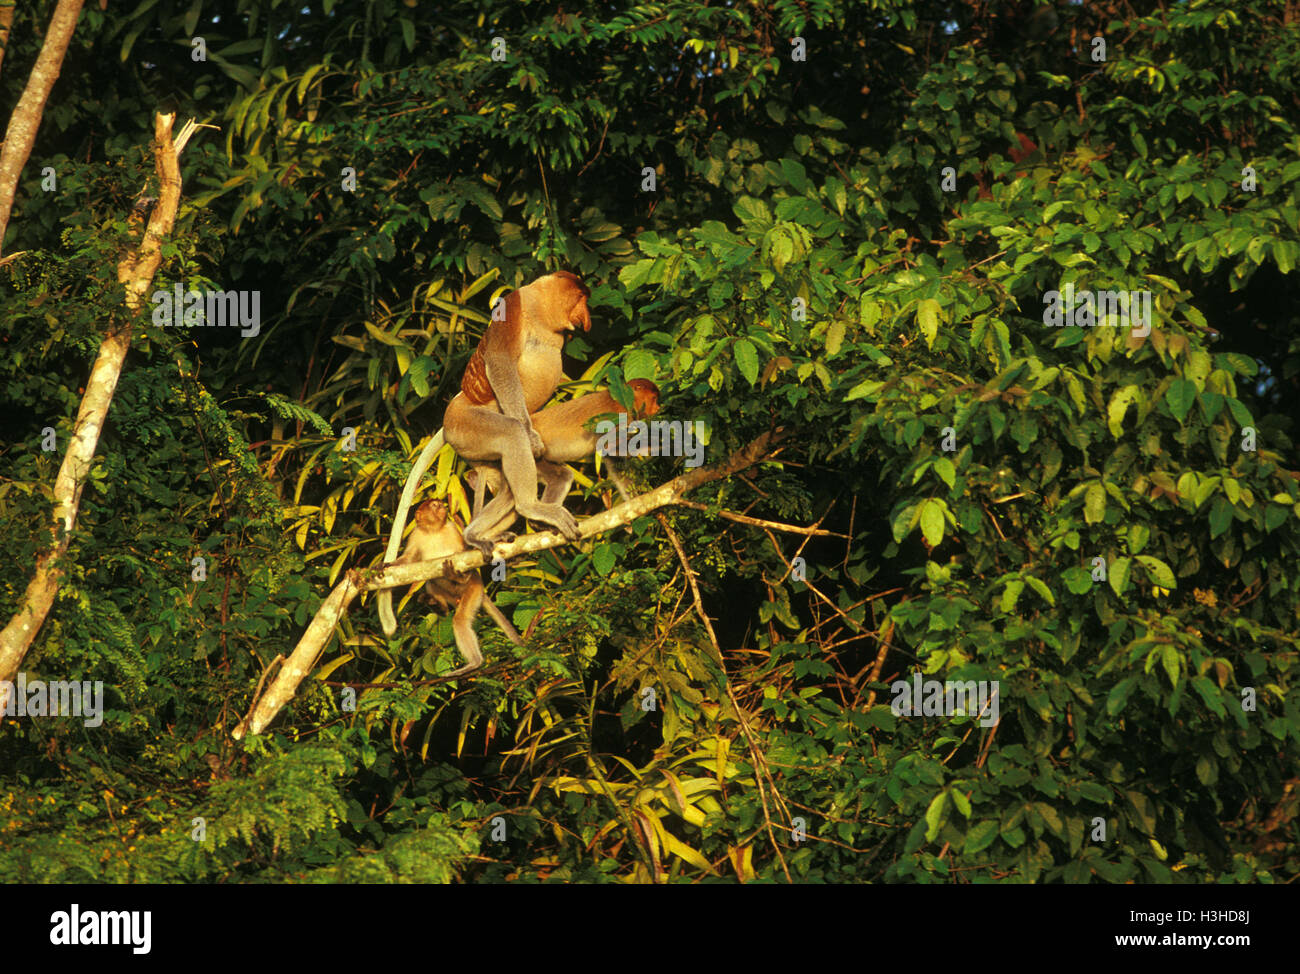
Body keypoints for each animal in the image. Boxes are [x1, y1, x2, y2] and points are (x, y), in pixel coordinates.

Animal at [391, 499, 522, 676]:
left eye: (438, 503)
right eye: (434, 505)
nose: (442, 506)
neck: (434, 531)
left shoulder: (452, 528)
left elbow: (465, 549)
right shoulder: (416, 534)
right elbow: (409, 558)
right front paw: (384, 566)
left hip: (473, 589)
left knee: (460, 619)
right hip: (452, 596)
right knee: (432, 582)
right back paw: (439, 606)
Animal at [442, 271, 595, 557]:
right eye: (581, 298)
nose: (587, 319)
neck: (541, 313)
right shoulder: (513, 306)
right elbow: (500, 363)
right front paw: (531, 435)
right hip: (464, 426)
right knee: (512, 433)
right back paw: (529, 508)